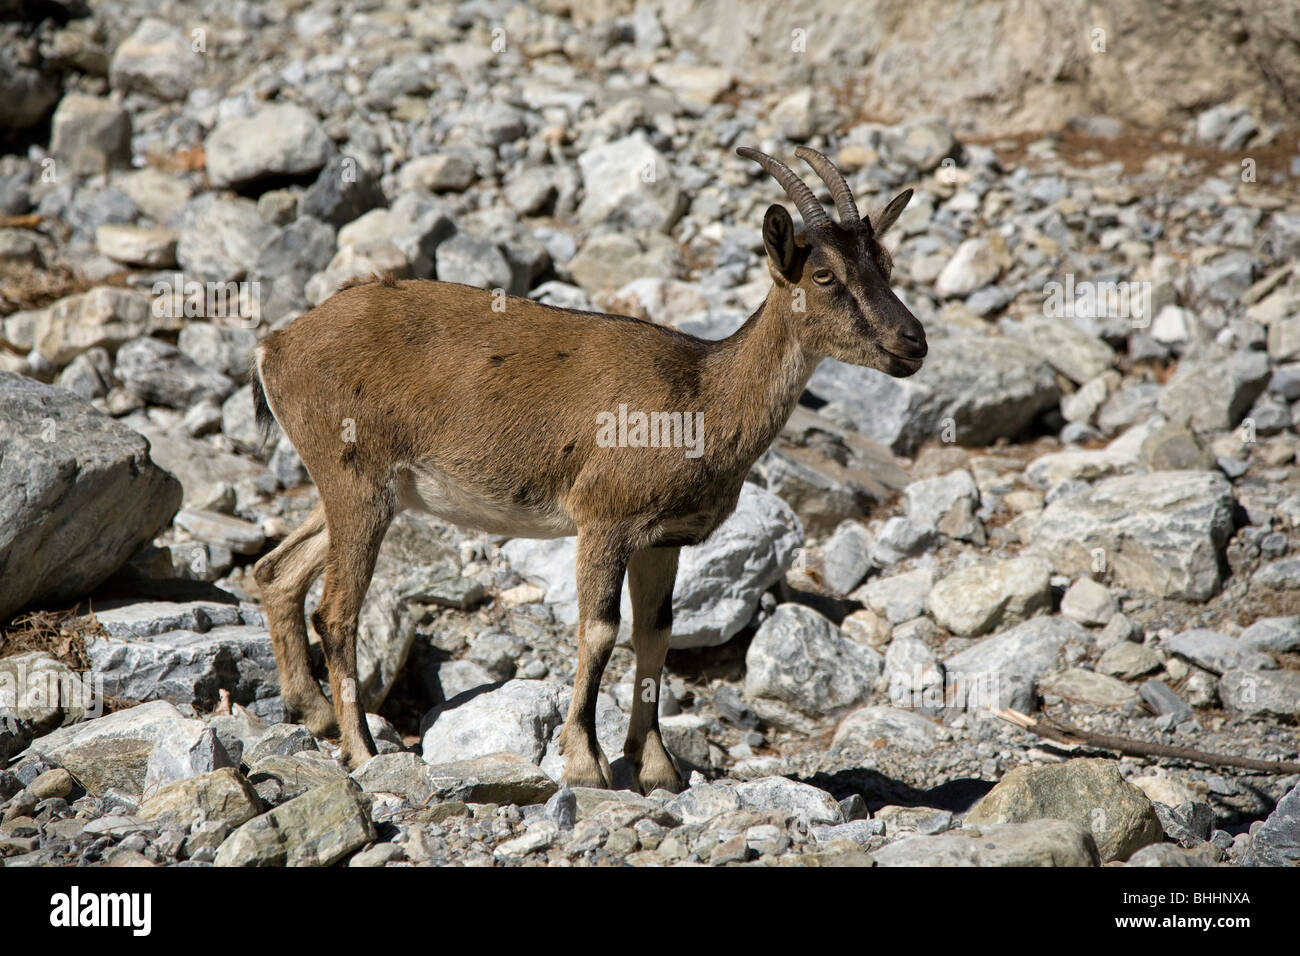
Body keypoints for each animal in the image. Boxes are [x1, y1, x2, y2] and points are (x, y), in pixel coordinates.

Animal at [249, 145, 926, 793]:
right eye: (824, 274)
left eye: (887, 264)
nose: (913, 342)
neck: (701, 396)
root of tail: (276, 346)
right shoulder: (604, 521)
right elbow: (599, 630)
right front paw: (584, 763)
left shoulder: (662, 540)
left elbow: (655, 633)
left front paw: (656, 768)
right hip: (358, 483)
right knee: (336, 610)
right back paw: (362, 750)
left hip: (364, 492)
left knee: (276, 570)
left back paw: (312, 712)